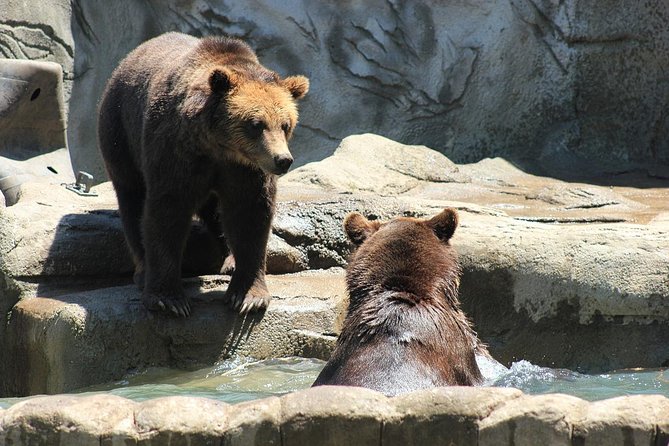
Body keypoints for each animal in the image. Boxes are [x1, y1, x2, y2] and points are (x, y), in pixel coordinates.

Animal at [98, 32, 309, 317]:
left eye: (286, 124)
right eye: (256, 124)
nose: (283, 160)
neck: (219, 147)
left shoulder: (245, 171)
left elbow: (249, 215)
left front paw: (248, 297)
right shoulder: (175, 150)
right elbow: (167, 211)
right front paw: (169, 300)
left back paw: (229, 260)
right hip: (120, 131)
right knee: (131, 200)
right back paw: (142, 271)